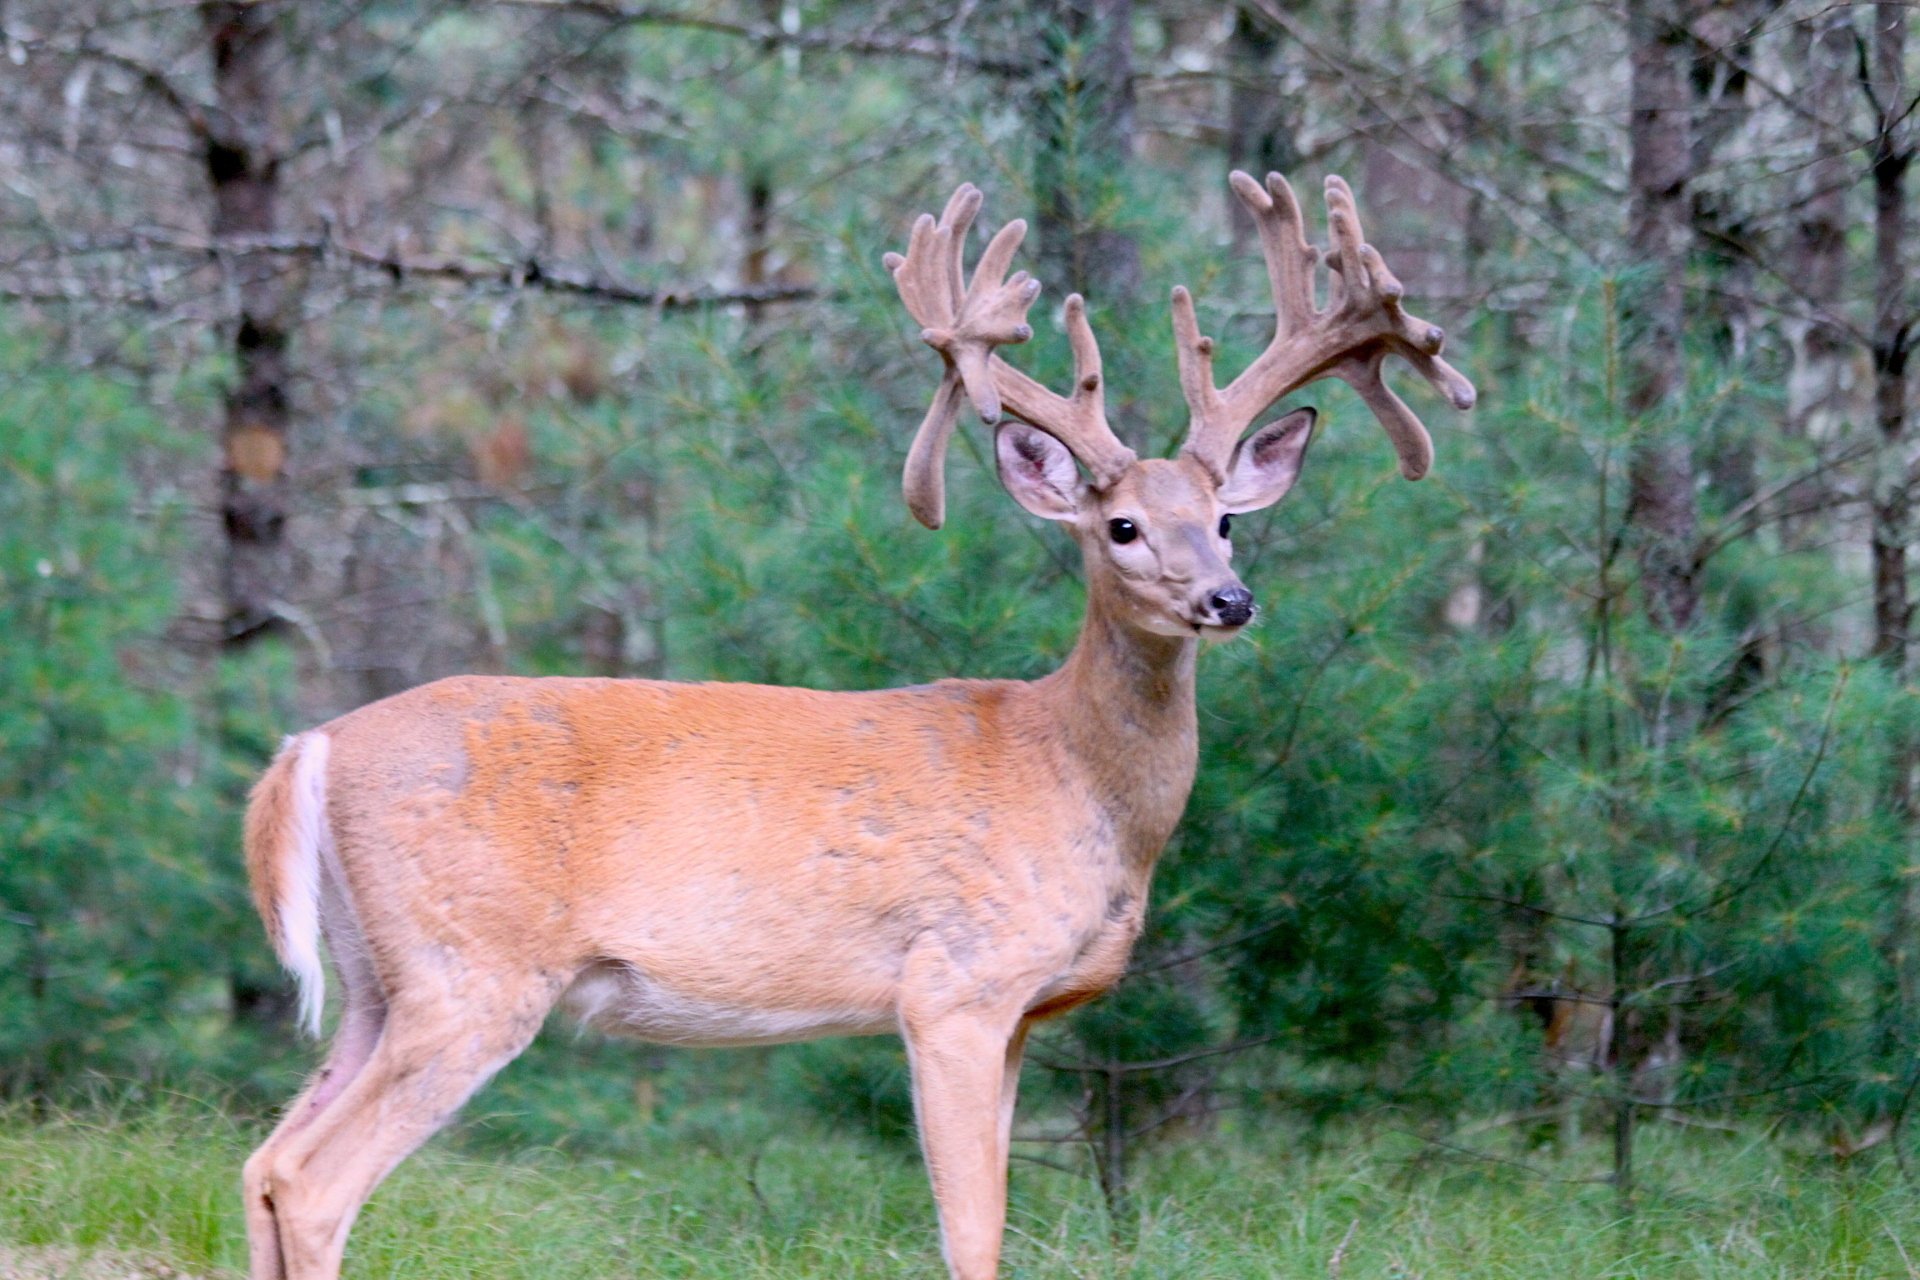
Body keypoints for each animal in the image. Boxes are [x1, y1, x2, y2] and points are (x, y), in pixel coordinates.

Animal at [237, 171, 1474, 1280]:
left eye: (1224, 518)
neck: (1076, 776)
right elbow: (972, 1233)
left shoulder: (1022, 1015)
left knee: (261, 1162)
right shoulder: (955, 983)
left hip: (379, 976)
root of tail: (310, 749)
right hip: (472, 967)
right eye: (1121, 524)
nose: (1229, 598)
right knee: (311, 1178)